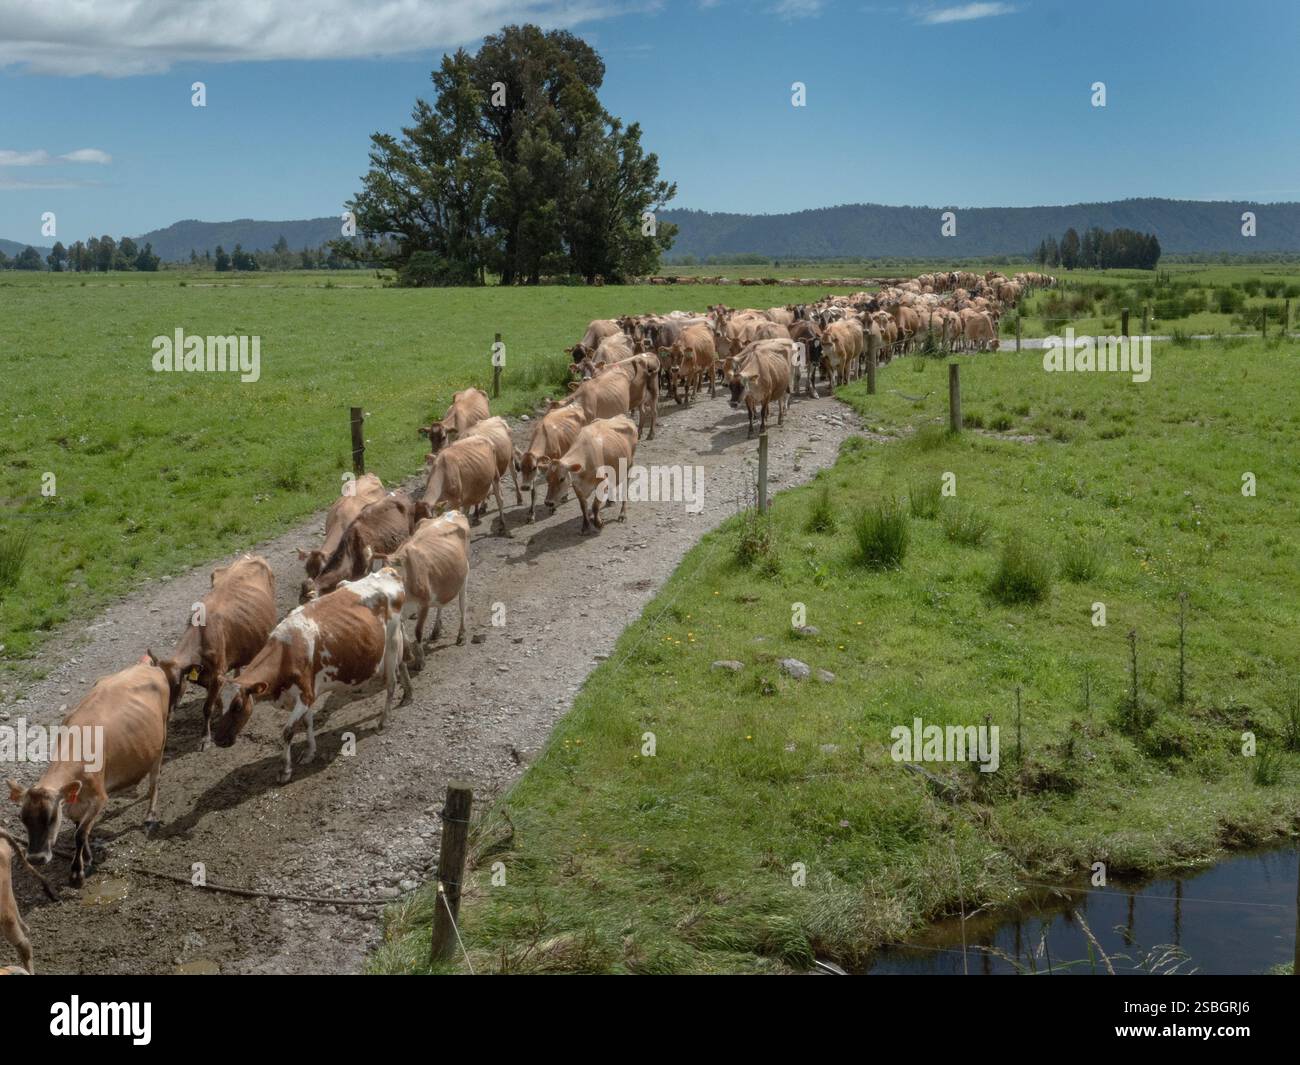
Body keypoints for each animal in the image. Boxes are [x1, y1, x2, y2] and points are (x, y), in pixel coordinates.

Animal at [8, 659, 170, 886]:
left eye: (51, 818)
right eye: (22, 818)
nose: (35, 859)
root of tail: (147, 666)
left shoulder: (99, 797)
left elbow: (79, 834)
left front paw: (77, 872)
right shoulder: (73, 800)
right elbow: (81, 831)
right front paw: (87, 858)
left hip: (161, 738)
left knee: (155, 779)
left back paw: (149, 817)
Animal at [149, 554, 277, 750]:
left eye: (177, 684)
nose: (166, 716)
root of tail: (251, 556)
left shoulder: (217, 673)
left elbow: (206, 708)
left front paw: (205, 738)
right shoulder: (207, 677)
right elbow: (214, 701)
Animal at [211, 568, 413, 783]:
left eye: (237, 706)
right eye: (218, 704)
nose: (219, 740)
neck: (285, 652)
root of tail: (387, 571)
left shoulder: (305, 694)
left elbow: (287, 731)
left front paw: (285, 771)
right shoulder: (306, 694)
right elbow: (307, 722)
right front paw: (309, 753)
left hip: (391, 645)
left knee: (391, 684)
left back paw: (383, 721)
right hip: (395, 643)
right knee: (403, 664)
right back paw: (408, 695)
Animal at [373, 509, 471, 667]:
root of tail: (452, 512)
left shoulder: (424, 604)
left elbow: (417, 631)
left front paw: (420, 660)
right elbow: (405, 636)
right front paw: (408, 655)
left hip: (465, 574)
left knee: (462, 605)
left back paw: (461, 635)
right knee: (440, 603)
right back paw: (436, 631)